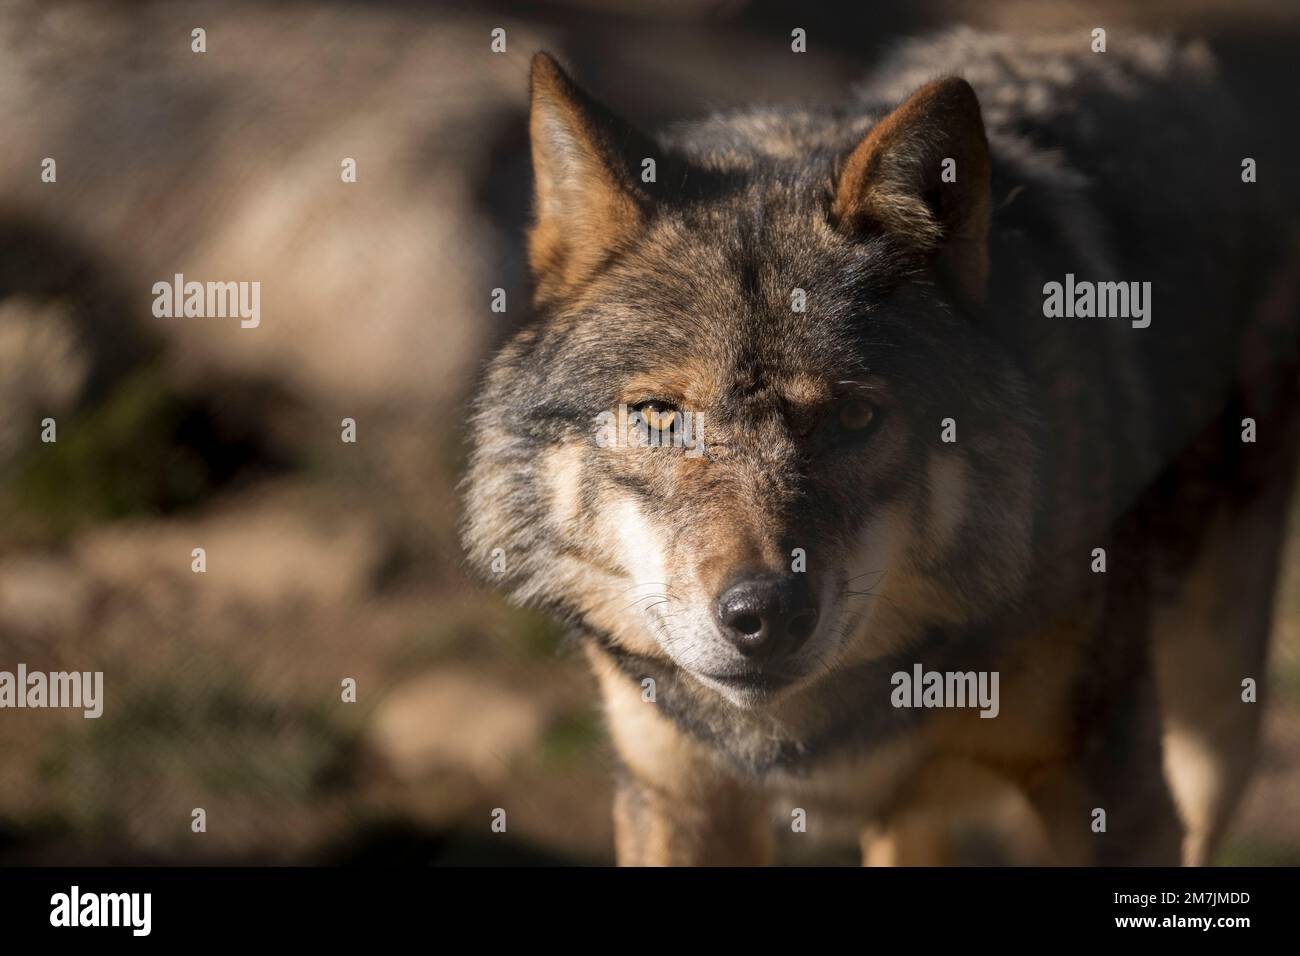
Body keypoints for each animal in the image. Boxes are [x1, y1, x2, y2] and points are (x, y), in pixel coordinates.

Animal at [462, 29, 1300, 865]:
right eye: (662, 417)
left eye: (854, 417)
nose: (765, 614)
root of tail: (1149, 43)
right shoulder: (677, 798)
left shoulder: (1111, 794)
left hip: (1216, 729)